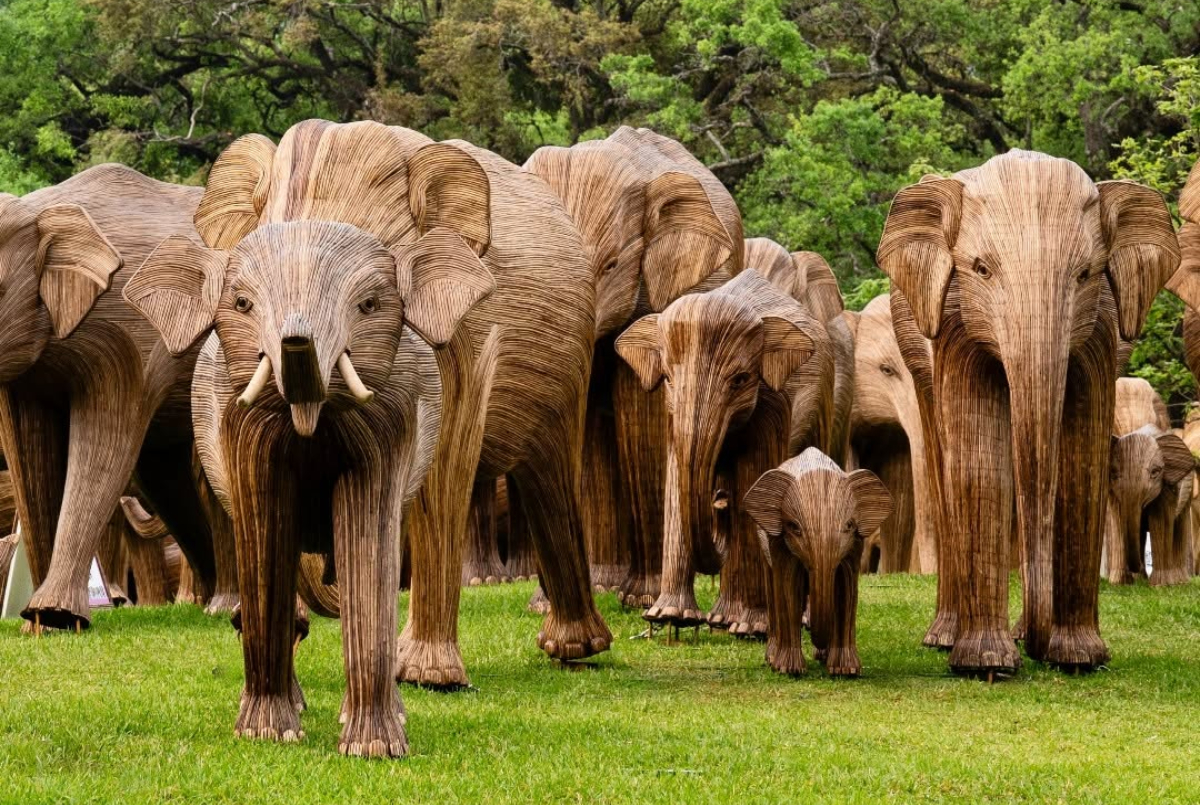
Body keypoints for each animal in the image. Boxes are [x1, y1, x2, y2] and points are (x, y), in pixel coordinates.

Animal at [0, 164, 235, 631]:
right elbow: (28, 462)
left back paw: (224, 607)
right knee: (162, 475)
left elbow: (103, 445)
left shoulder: (128, 336)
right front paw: (36, 625)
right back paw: (205, 606)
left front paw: (55, 614)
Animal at [126, 119, 611, 740]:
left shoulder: (470, 332)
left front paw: (430, 680)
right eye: (239, 301)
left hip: (573, 353)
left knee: (550, 472)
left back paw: (574, 652)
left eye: (373, 302)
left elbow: (439, 473)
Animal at [615, 268, 822, 636]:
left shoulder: (771, 404)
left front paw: (753, 629)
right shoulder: (672, 415)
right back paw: (722, 621)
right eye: (667, 379)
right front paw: (669, 617)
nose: (719, 500)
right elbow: (676, 483)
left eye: (740, 380)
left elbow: (756, 479)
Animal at [743, 448, 891, 677]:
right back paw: (772, 658)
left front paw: (845, 671)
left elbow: (847, 588)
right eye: (794, 527)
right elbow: (788, 587)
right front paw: (788, 669)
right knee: (774, 589)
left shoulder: (855, 543)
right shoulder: (779, 541)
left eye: (849, 525)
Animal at [876, 150, 1180, 674]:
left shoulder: (1101, 322)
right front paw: (986, 666)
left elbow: (1081, 465)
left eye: (1086, 274)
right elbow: (978, 461)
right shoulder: (955, 315)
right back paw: (946, 639)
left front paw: (1078, 660)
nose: (1035, 648)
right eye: (980, 269)